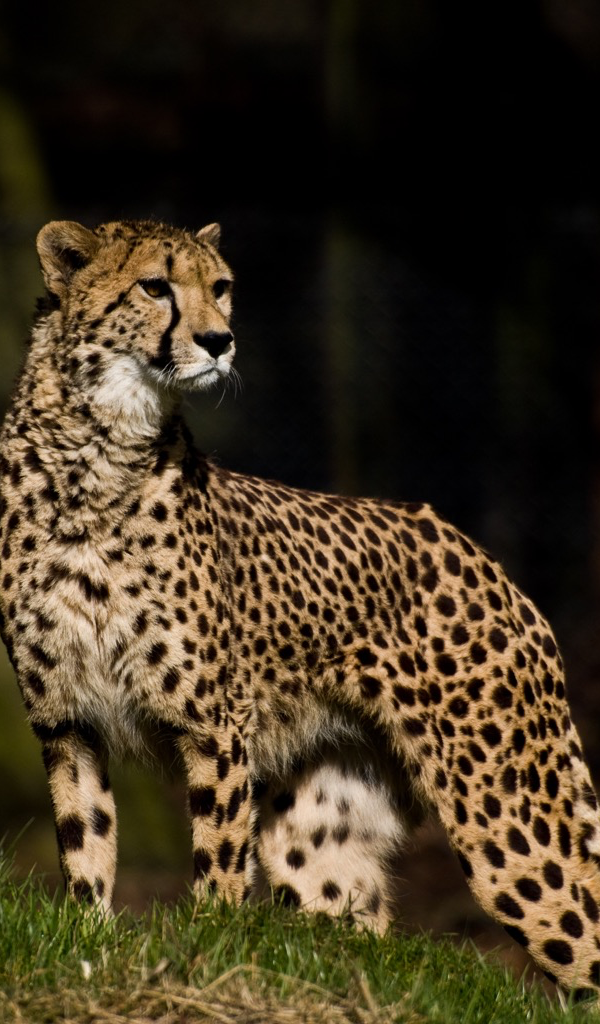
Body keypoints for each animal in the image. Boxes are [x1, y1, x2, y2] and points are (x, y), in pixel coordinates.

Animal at [1, 218, 600, 998]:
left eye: (221, 286)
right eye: (154, 286)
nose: (219, 340)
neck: (94, 460)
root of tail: (484, 557)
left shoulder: (215, 726)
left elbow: (218, 858)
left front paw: (208, 950)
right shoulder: (64, 721)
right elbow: (86, 850)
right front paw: (94, 942)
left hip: (508, 816)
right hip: (320, 846)